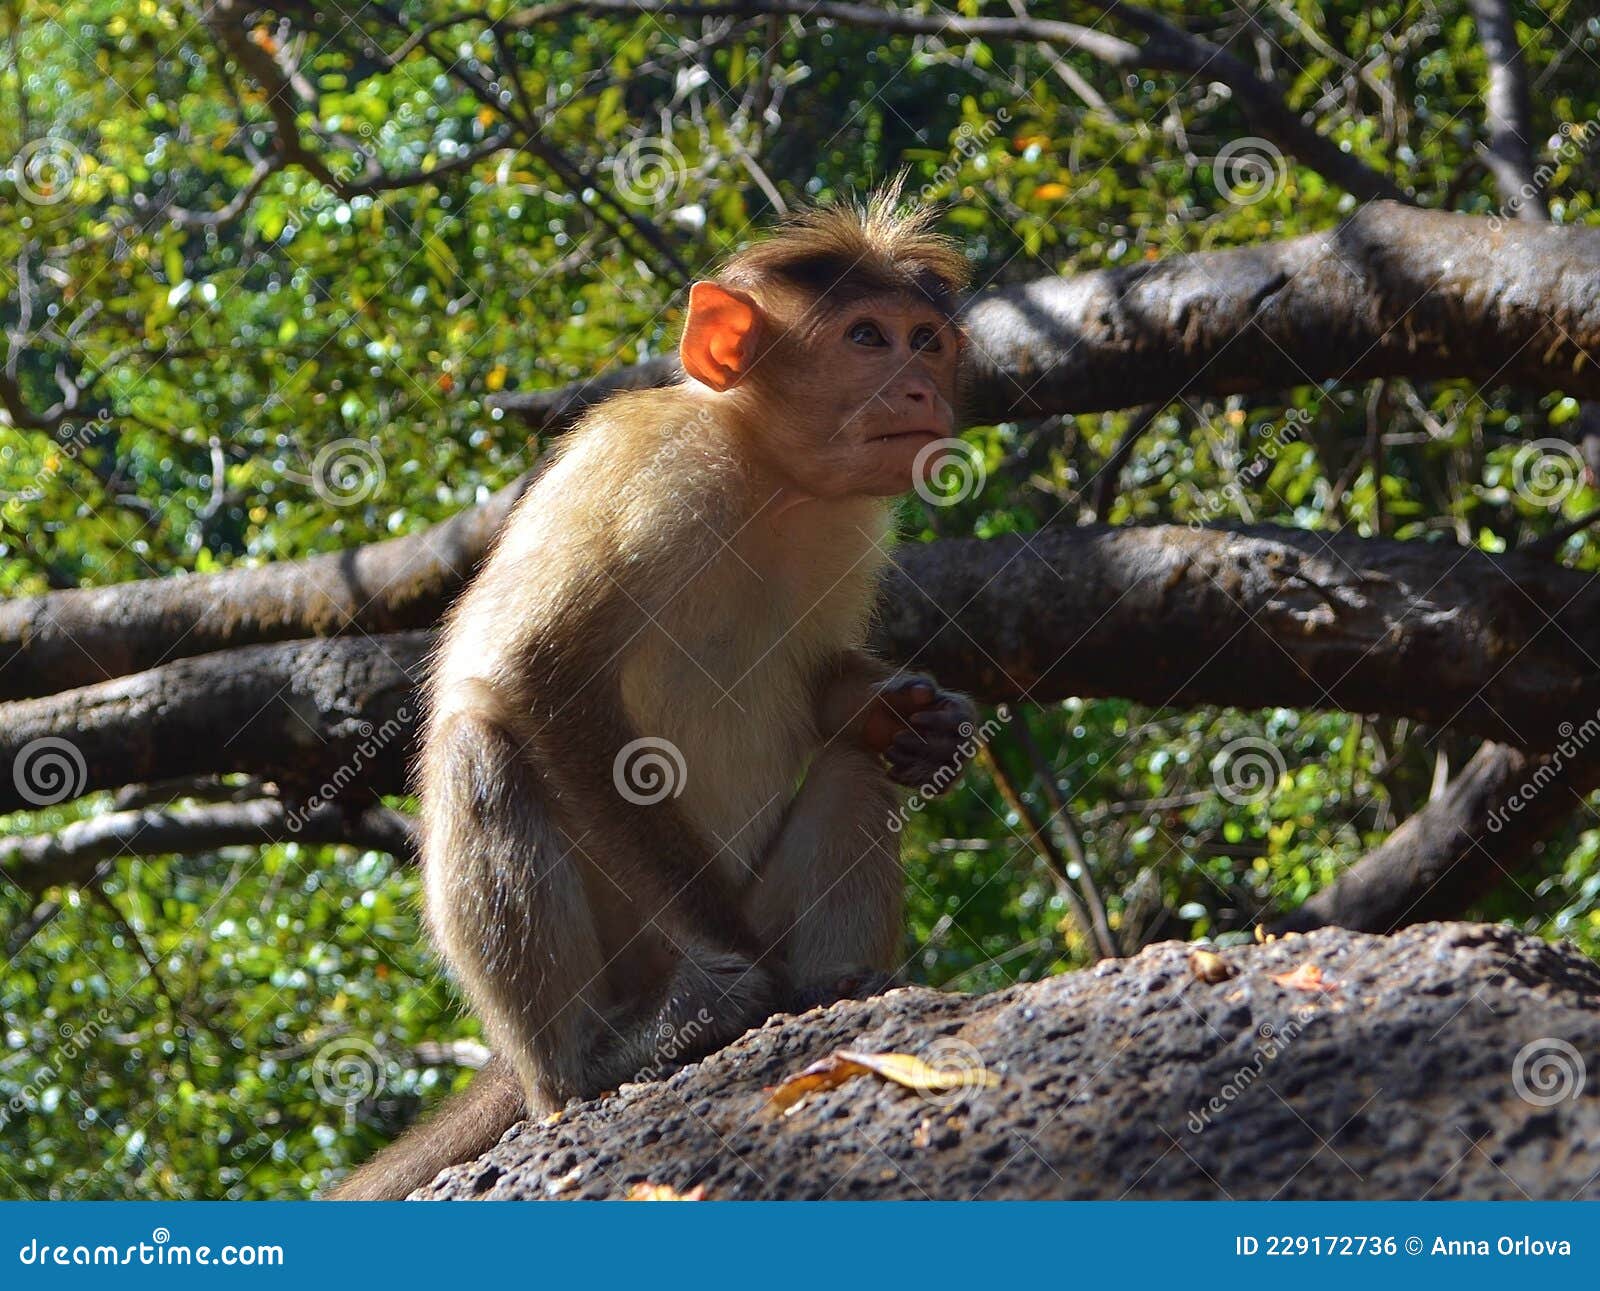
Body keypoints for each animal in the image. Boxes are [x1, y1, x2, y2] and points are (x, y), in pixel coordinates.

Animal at [332, 185, 979, 1200]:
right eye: (868, 337)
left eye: (928, 341)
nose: (921, 388)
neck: (769, 479)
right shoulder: (651, 466)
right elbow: (539, 675)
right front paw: (748, 971)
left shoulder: (855, 530)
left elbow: (827, 688)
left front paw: (915, 718)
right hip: (633, 962)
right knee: (483, 743)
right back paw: (606, 1057)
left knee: (852, 772)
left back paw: (836, 982)